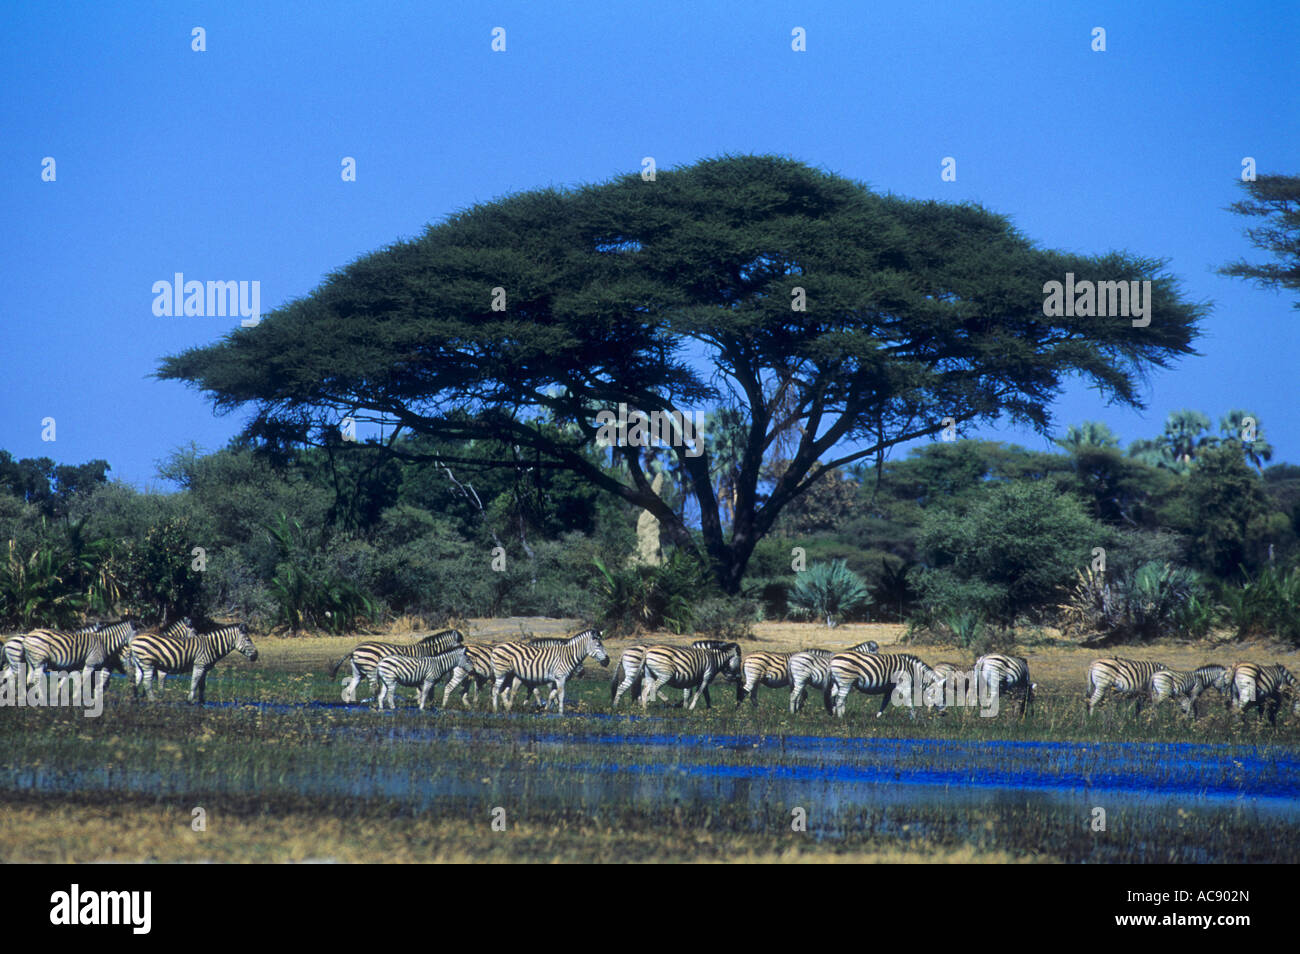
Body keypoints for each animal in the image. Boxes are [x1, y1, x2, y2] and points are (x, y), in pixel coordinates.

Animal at [128, 621, 257, 704]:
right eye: (248, 640)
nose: (256, 655)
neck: (212, 646)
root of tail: (134, 640)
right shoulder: (199, 665)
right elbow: (194, 683)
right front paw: (190, 700)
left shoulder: (205, 669)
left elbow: (202, 686)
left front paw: (202, 702)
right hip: (147, 662)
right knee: (147, 682)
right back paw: (153, 700)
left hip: (140, 663)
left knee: (137, 680)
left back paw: (135, 699)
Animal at [330, 629, 464, 703]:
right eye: (460, 645)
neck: (428, 652)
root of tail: (354, 649)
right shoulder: (423, 670)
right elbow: (423, 690)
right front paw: (424, 702)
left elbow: (426, 689)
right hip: (371, 668)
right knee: (373, 687)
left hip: (358, 671)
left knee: (350, 689)